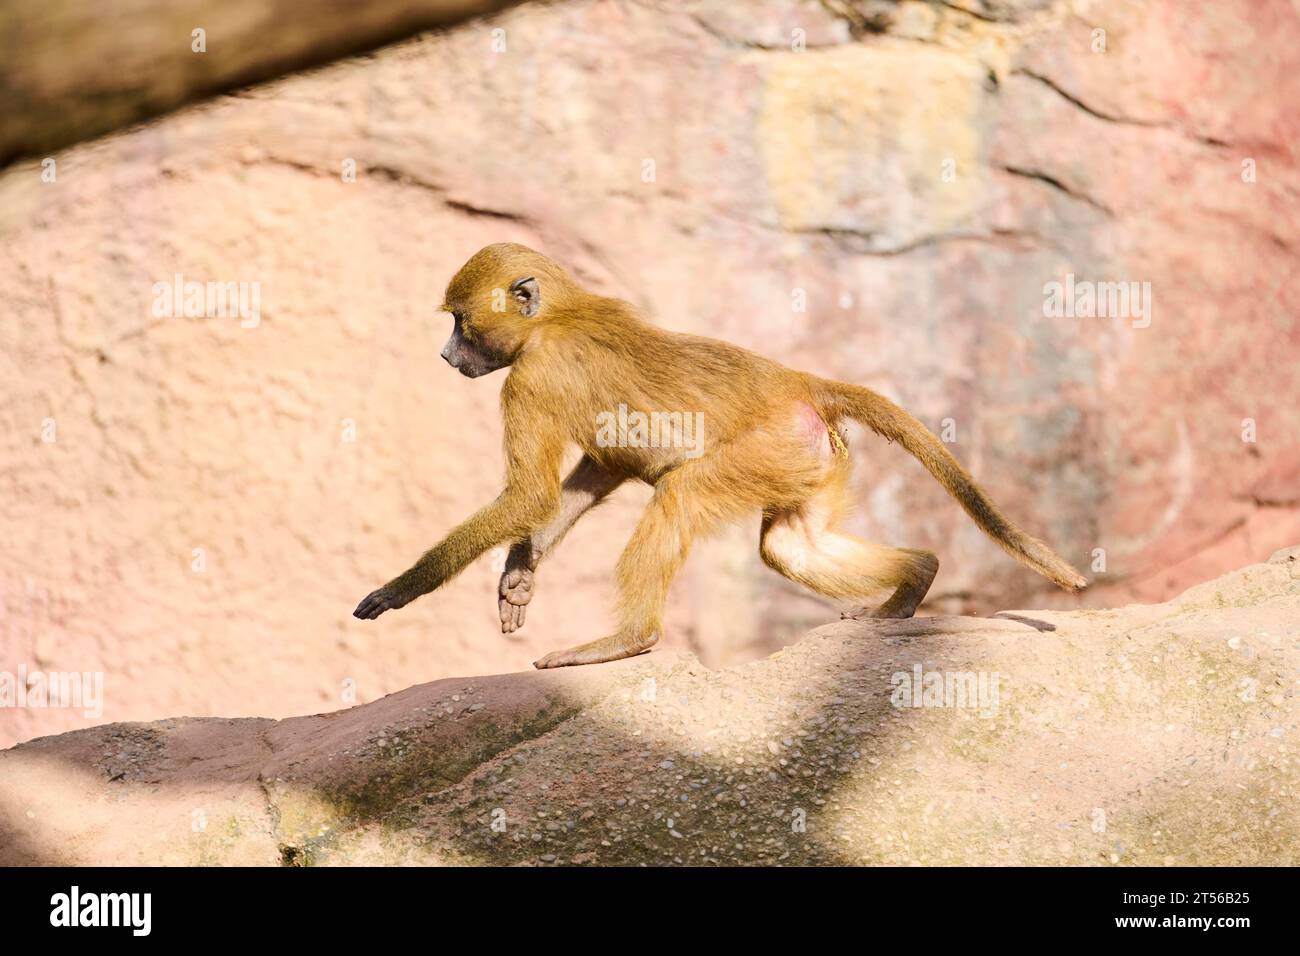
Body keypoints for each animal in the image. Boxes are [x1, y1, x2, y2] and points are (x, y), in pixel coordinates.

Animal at [353, 242, 1087, 668]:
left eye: (459, 322)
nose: (444, 355)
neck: (557, 318)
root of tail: (797, 382)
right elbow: (593, 475)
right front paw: (518, 578)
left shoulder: (531, 379)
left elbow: (532, 495)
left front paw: (397, 590)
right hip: (809, 458)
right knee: (791, 547)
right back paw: (914, 582)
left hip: (767, 449)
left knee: (681, 496)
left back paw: (627, 640)